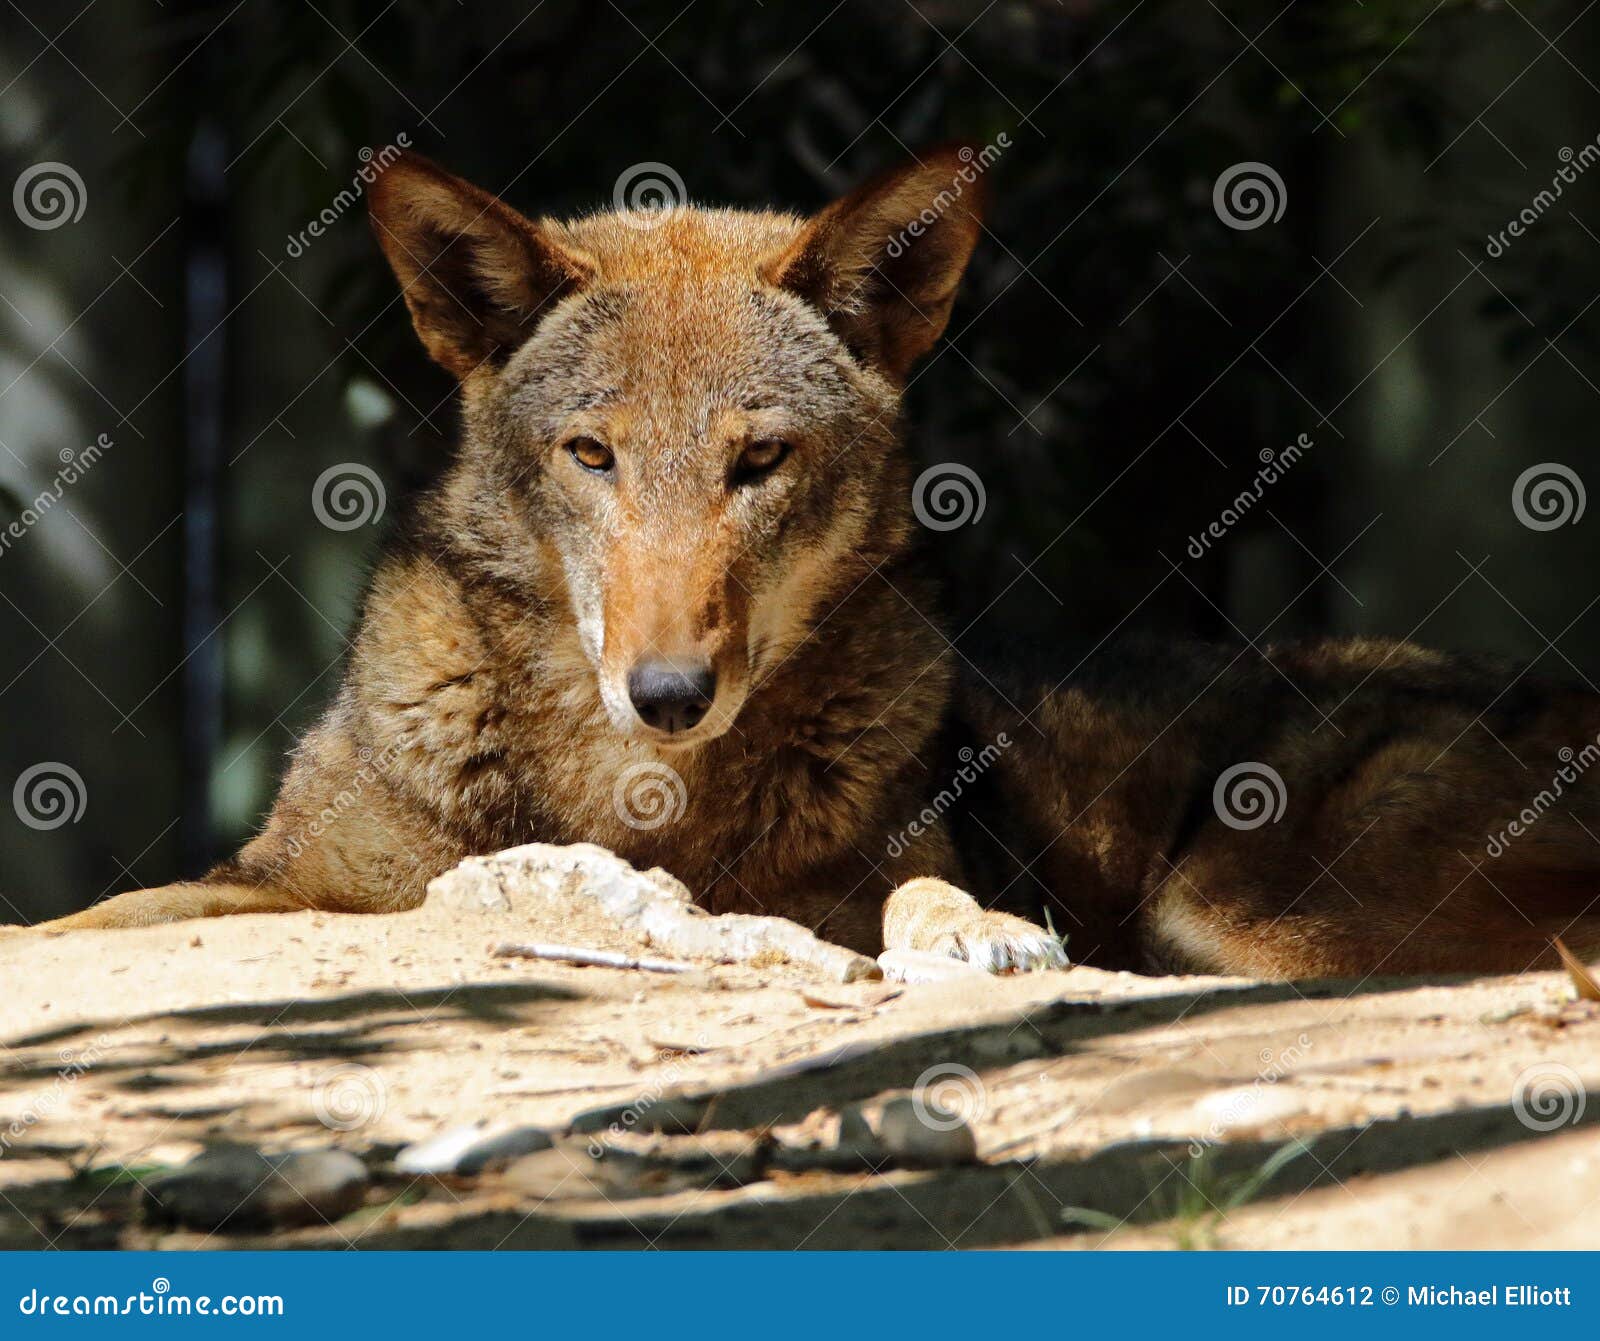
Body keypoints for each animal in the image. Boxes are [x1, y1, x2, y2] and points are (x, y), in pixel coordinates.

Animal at [15, 146, 1600, 980]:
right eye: (592, 455)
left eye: (758, 462)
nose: (666, 691)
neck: (637, 798)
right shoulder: (284, 878)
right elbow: (83, 920)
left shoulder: (868, 874)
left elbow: (926, 901)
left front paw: (975, 935)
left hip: (1237, 914)